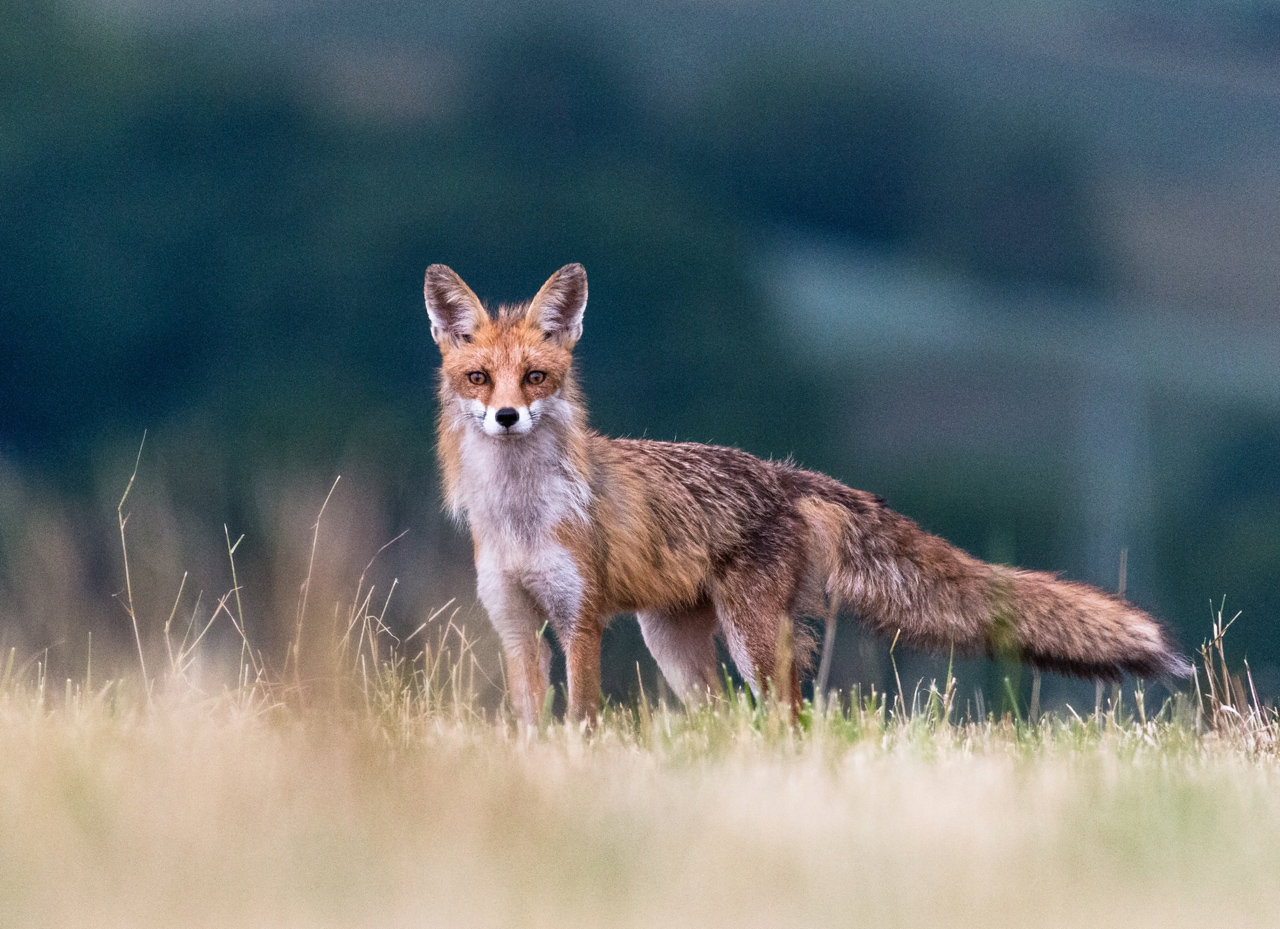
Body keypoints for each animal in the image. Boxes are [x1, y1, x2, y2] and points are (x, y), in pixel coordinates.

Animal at [426, 262, 1191, 726]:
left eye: (535, 377)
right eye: (477, 378)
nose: (506, 417)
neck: (522, 515)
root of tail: (787, 475)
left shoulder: (579, 621)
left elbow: (580, 717)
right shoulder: (515, 622)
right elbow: (532, 721)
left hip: (750, 640)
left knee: (788, 719)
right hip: (676, 647)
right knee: (726, 720)